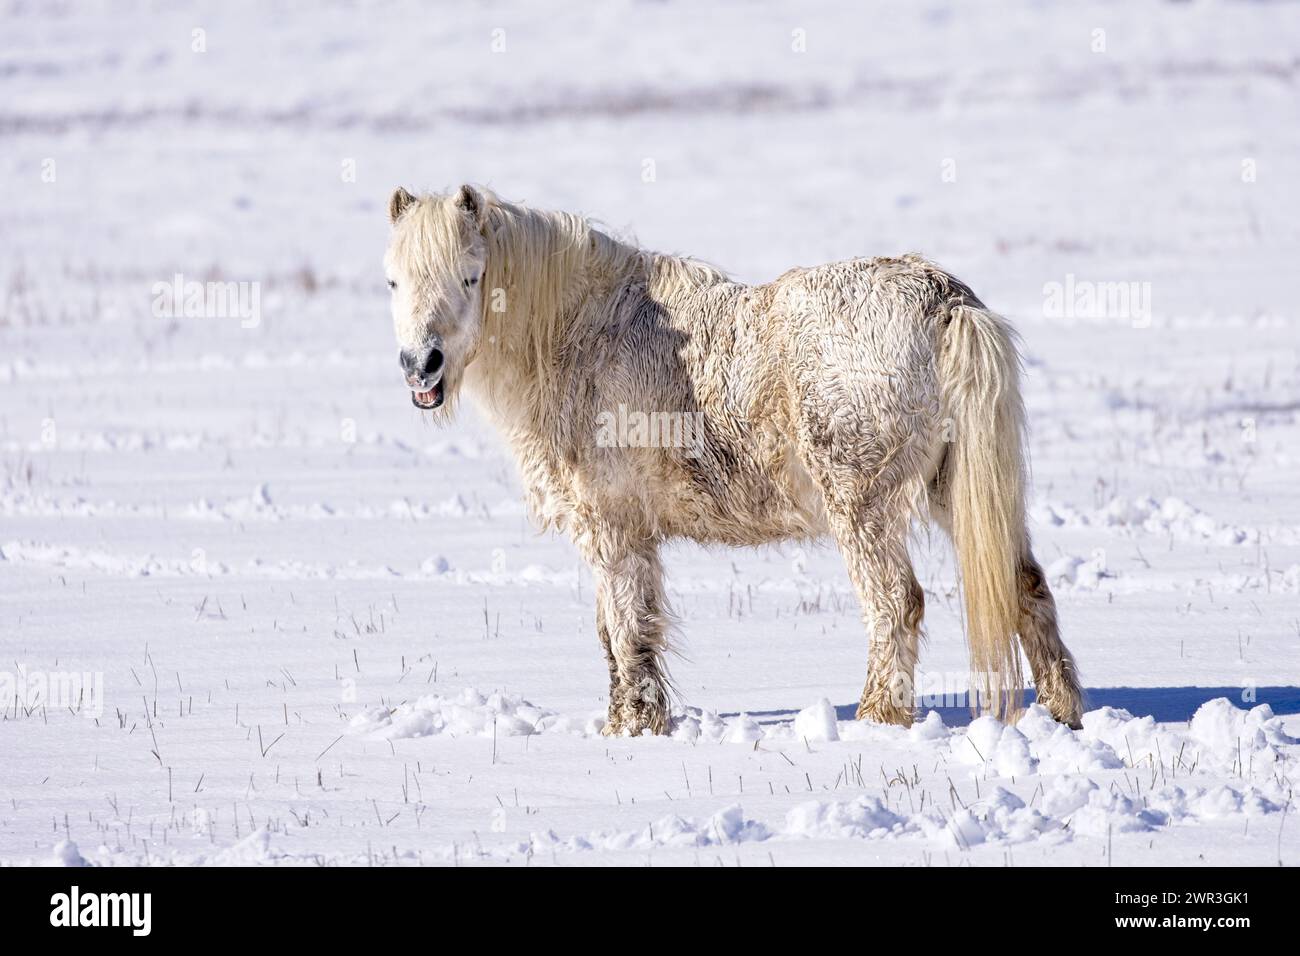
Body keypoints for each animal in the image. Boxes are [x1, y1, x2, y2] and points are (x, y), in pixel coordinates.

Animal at [382, 184, 1083, 736]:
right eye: (393, 281)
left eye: (472, 275)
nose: (422, 366)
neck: (577, 335)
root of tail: (946, 302)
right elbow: (616, 632)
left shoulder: (611, 528)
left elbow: (627, 631)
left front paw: (631, 730)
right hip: (952, 493)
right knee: (1026, 585)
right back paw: (1062, 711)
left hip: (861, 507)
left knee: (895, 605)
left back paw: (877, 719)